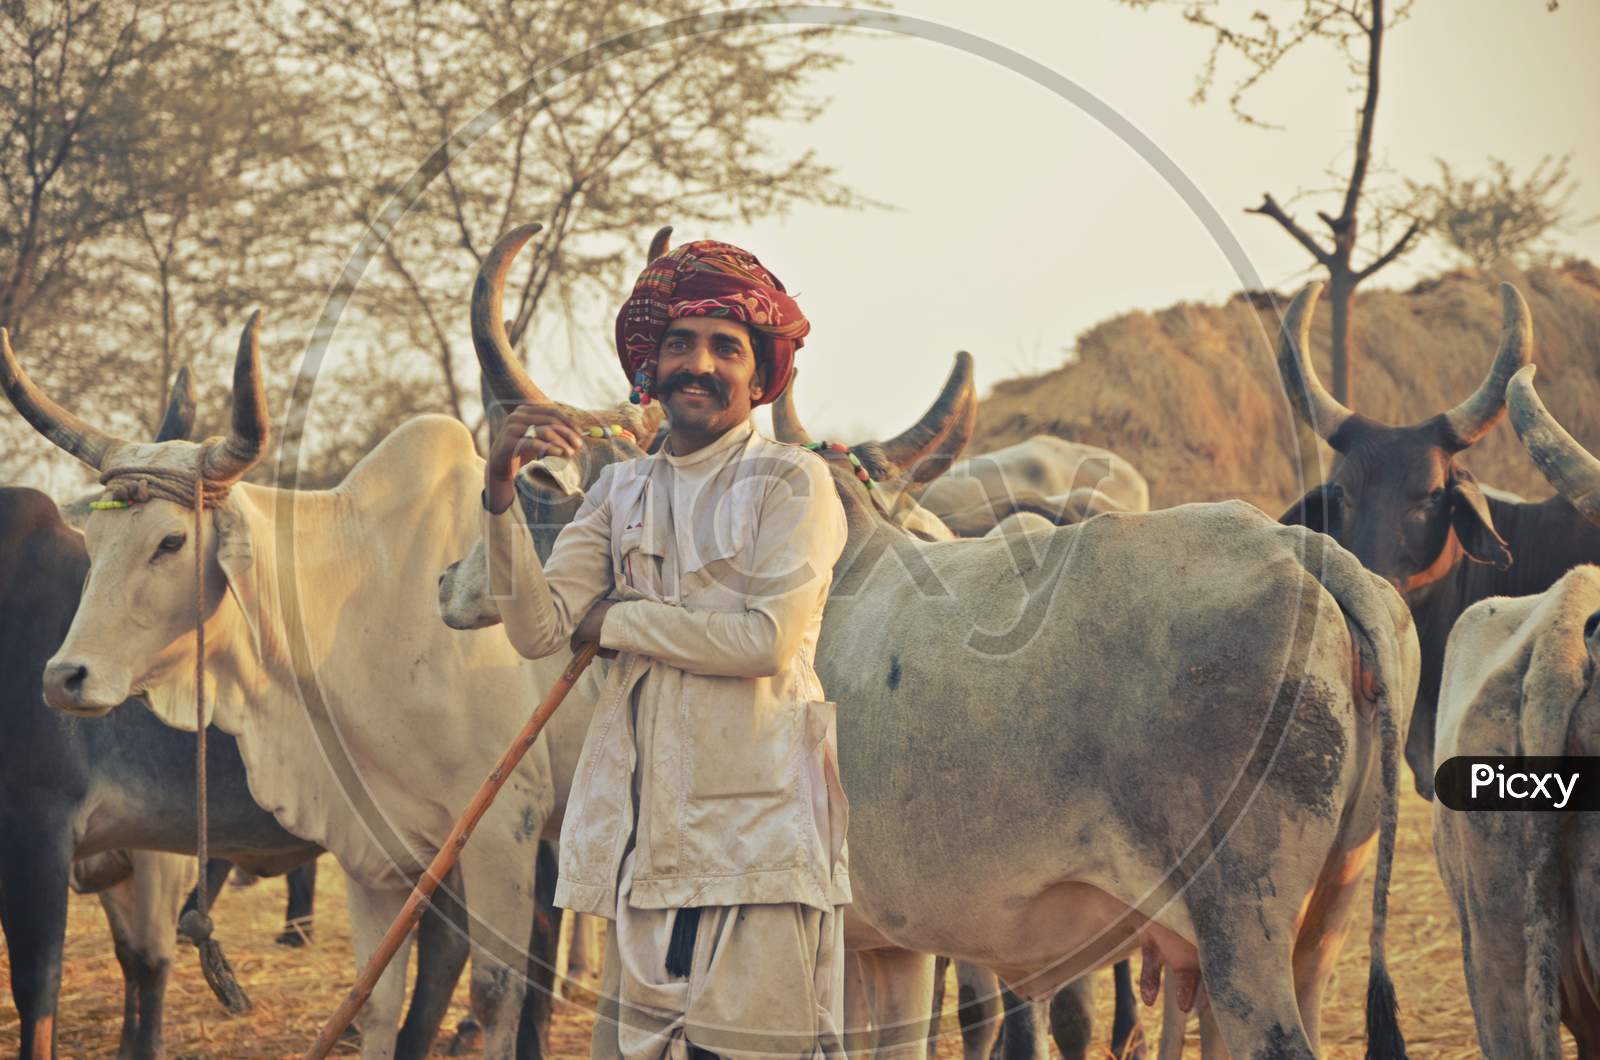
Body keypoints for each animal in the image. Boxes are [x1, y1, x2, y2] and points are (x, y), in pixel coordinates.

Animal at [0, 313, 588, 1059]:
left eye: (170, 541)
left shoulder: (506, 826)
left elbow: (496, 993)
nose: (65, 677)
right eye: (94, 539)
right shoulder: (378, 848)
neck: (357, 602)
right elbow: (375, 995)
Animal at [442, 225, 1420, 1059]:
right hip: (1315, 927)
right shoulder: (891, 945)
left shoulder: (821, 945)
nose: (453, 583)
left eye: (561, 498)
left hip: (1239, 929)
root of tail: (1305, 555)